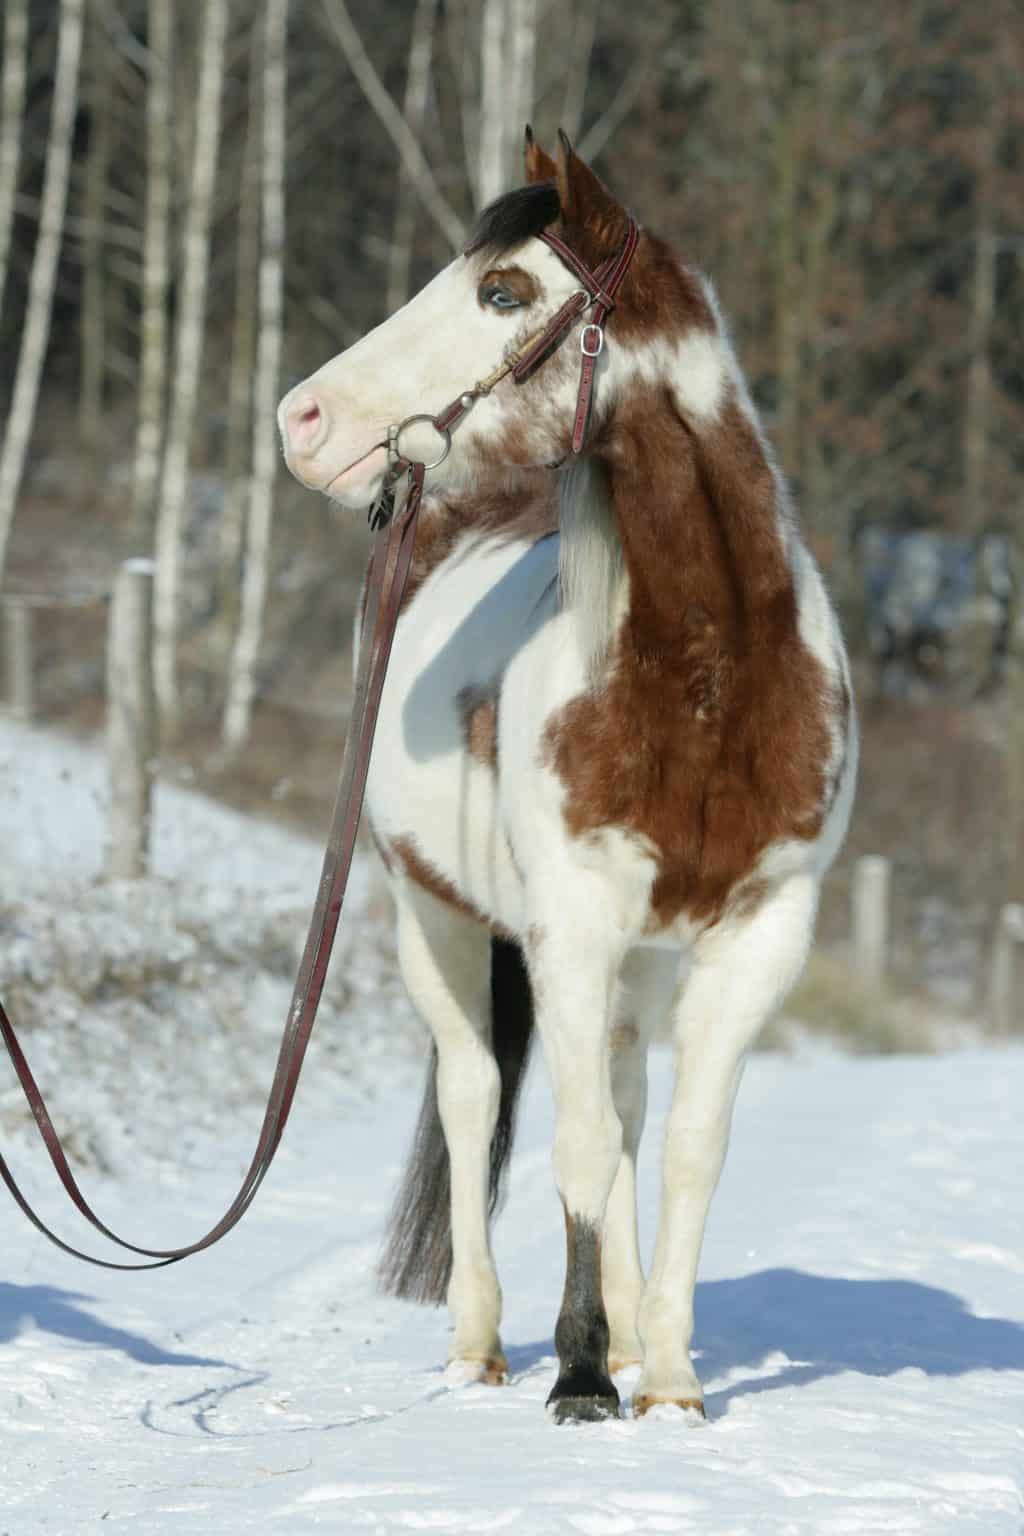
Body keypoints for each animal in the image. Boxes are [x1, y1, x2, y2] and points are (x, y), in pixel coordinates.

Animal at [278, 130, 857, 1424]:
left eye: (503, 293)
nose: (302, 417)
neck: (707, 679)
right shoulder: (570, 929)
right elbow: (576, 1145)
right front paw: (583, 1374)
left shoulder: (755, 934)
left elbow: (685, 1146)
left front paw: (671, 1379)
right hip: (433, 918)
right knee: (477, 1097)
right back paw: (484, 1344)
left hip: (633, 962)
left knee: (629, 1102)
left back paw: (638, 1337)